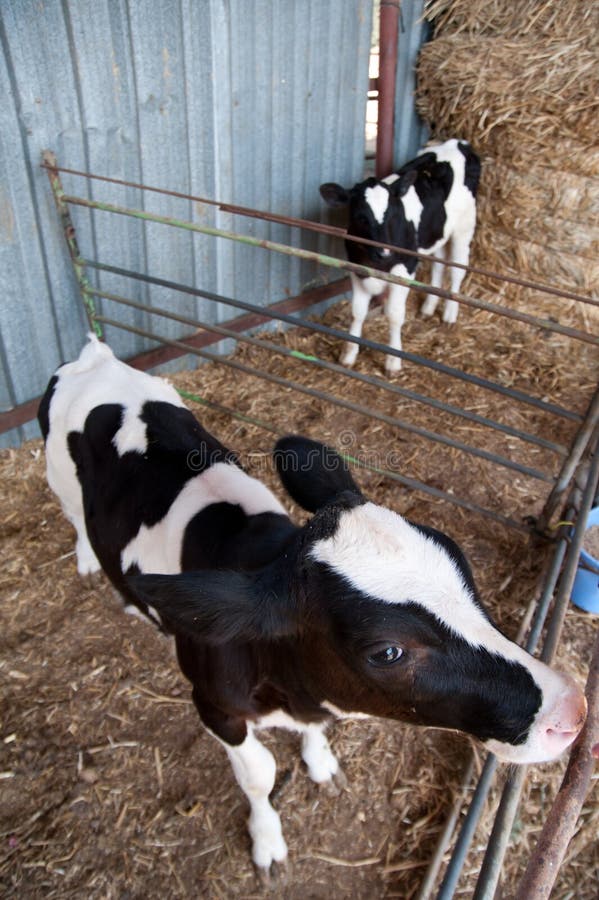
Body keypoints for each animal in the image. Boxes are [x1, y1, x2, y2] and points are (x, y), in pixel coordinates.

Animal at [38, 336, 586, 872]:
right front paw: (267, 841)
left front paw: (320, 762)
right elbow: (259, 774)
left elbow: (314, 734)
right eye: (387, 652)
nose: (572, 709)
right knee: (74, 517)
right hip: (57, 478)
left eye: (459, 560)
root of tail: (96, 357)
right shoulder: (212, 705)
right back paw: (92, 565)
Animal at [320, 138, 480, 372]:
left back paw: (450, 314)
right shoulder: (355, 267)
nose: (384, 253)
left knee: (457, 269)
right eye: (361, 217)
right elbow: (357, 311)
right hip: (437, 232)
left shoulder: (405, 267)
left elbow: (395, 315)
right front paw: (349, 354)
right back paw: (428, 308)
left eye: (393, 214)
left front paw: (393, 361)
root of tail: (459, 143)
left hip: (464, 226)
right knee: (439, 266)